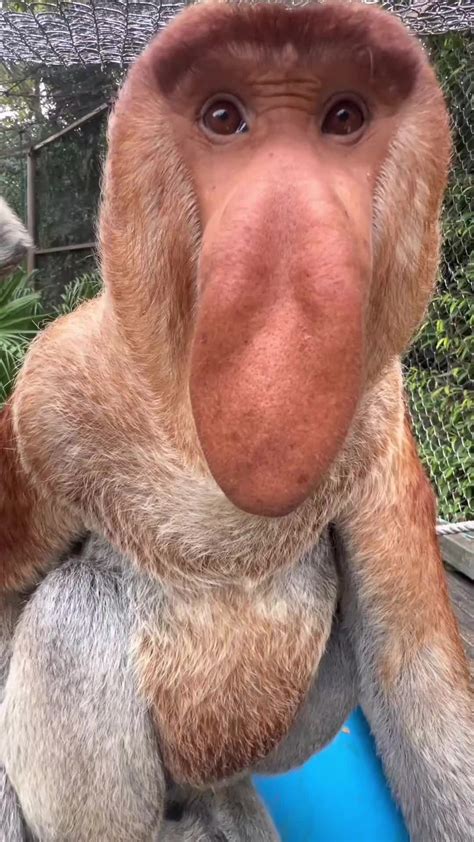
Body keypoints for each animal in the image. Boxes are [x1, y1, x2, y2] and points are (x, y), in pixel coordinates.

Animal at [0, 1, 472, 840]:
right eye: (224, 118)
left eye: (343, 118)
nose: (291, 250)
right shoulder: (47, 406)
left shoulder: (379, 421)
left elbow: (417, 678)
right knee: (69, 614)